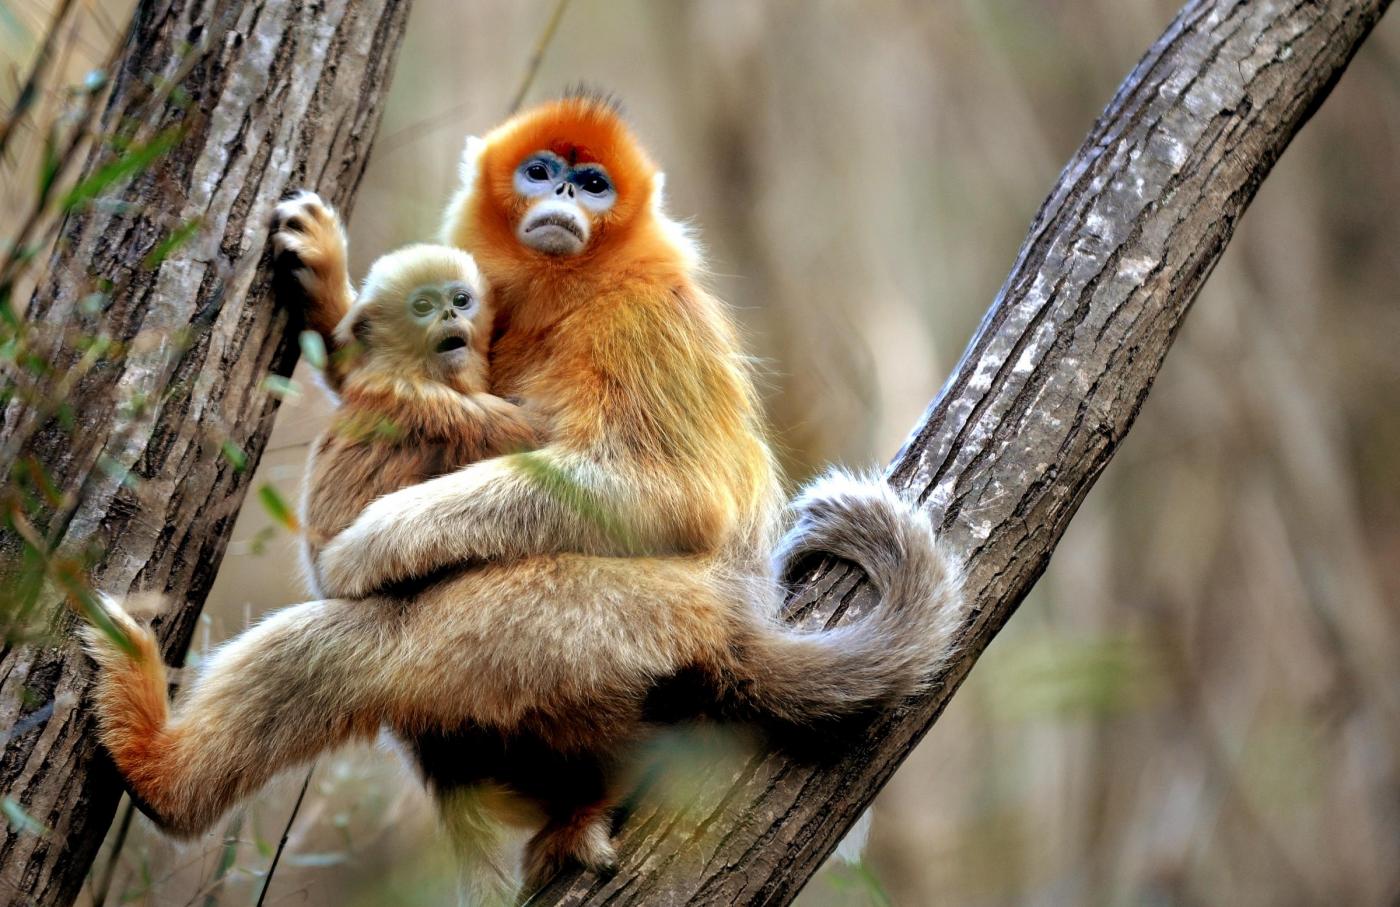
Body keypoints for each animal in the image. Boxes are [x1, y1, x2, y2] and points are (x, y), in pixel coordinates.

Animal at [268, 202, 542, 593]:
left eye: (461, 300)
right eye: (423, 306)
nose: (450, 314)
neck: (412, 367)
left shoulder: (363, 369)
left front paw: (318, 253)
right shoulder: (436, 405)